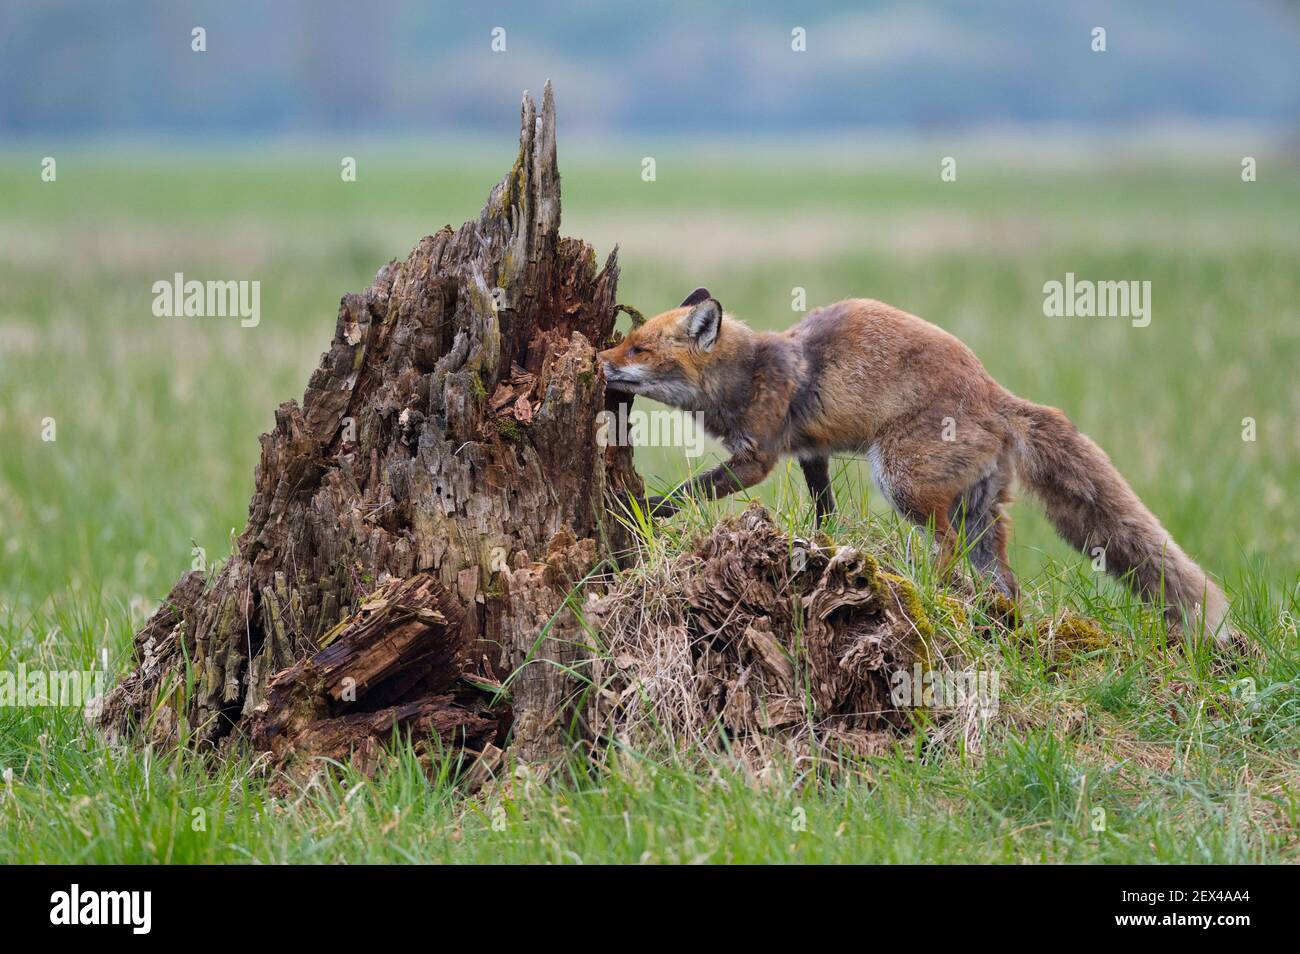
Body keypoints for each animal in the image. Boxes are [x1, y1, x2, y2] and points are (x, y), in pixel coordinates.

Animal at [599, 288, 1232, 644]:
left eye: (638, 349)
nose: (599, 359)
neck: (748, 370)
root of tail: (995, 394)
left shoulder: (758, 456)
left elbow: (687, 493)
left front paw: (643, 510)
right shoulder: (810, 451)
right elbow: (824, 509)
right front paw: (823, 543)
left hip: (900, 478)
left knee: (946, 543)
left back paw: (933, 585)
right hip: (980, 515)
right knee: (1003, 579)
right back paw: (999, 621)